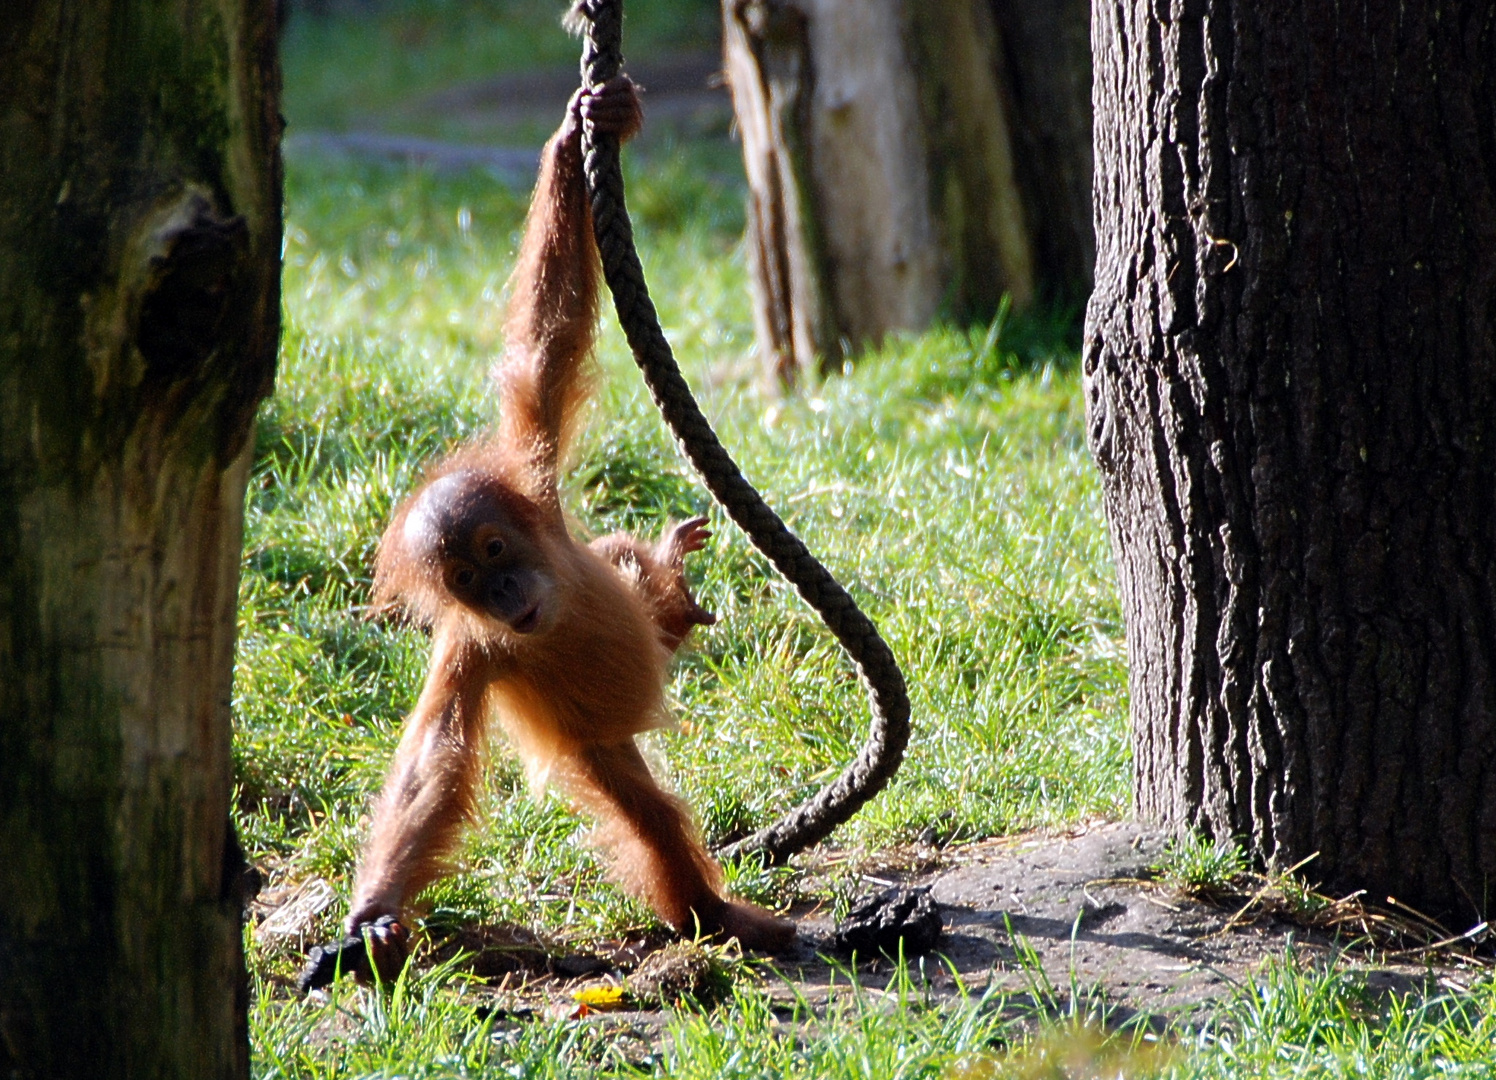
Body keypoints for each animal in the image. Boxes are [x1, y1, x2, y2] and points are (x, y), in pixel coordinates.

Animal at [342, 76, 796, 978]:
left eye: (494, 548)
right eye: (468, 580)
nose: (506, 590)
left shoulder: (534, 478)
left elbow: (545, 343)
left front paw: (578, 130)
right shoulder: (470, 647)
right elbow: (433, 761)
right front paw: (375, 916)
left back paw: (665, 591)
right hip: (600, 747)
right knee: (648, 816)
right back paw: (714, 916)